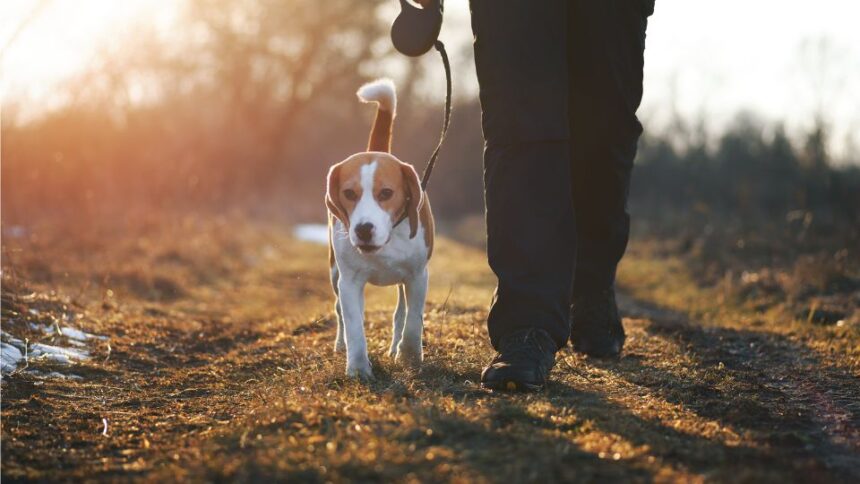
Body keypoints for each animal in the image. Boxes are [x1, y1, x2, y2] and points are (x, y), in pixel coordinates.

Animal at [326, 79, 434, 380]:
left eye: (386, 193)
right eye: (349, 193)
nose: (363, 229)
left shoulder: (417, 276)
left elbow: (413, 320)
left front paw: (409, 357)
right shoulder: (349, 282)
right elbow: (354, 326)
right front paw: (358, 368)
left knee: (401, 314)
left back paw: (396, 346)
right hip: (335, 273)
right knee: (340, 311)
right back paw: (341, 345)